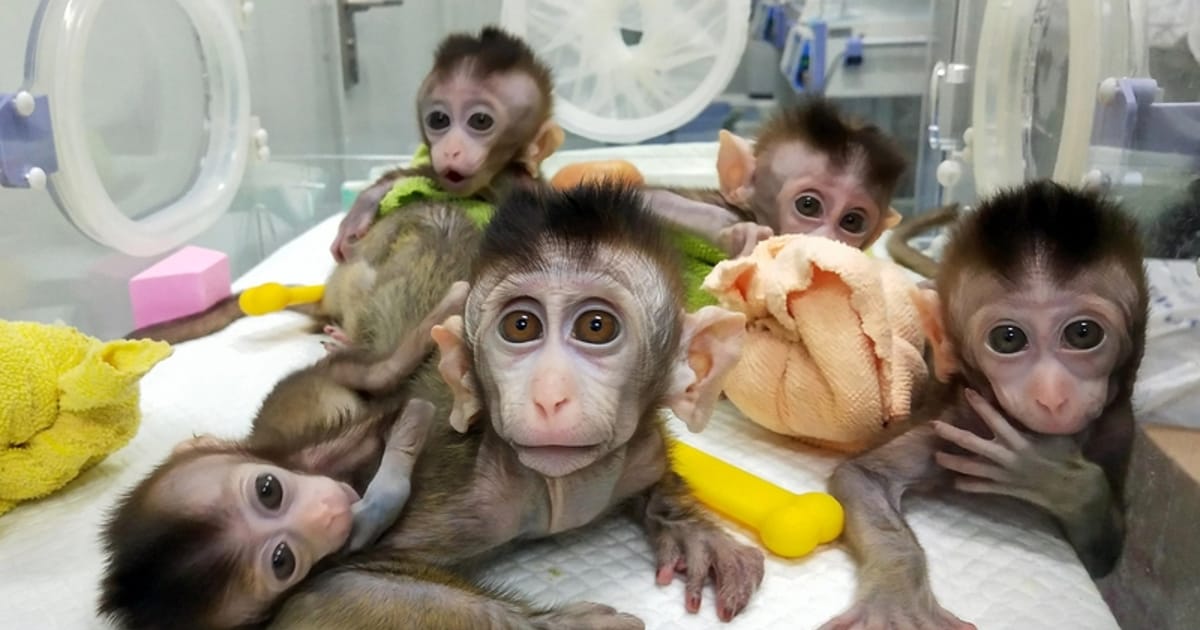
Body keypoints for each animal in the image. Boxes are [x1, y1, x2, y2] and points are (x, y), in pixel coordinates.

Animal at [98, 182, 764, 630]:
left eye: (596, 327)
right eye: (520, 326)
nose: (549, 394)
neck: (559, 487)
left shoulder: (637, 451)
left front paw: (689, 529)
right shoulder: (460, 485)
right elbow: (325, 594)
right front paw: (554, 625)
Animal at [817, 180, 1149, 630]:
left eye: (1083, 333)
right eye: (1008, 339)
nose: (1052, 394)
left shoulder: (1118, 425)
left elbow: (1103, 555)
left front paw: (1051, 474)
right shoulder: (960, 419)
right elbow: (861, 477)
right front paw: (896, 595)